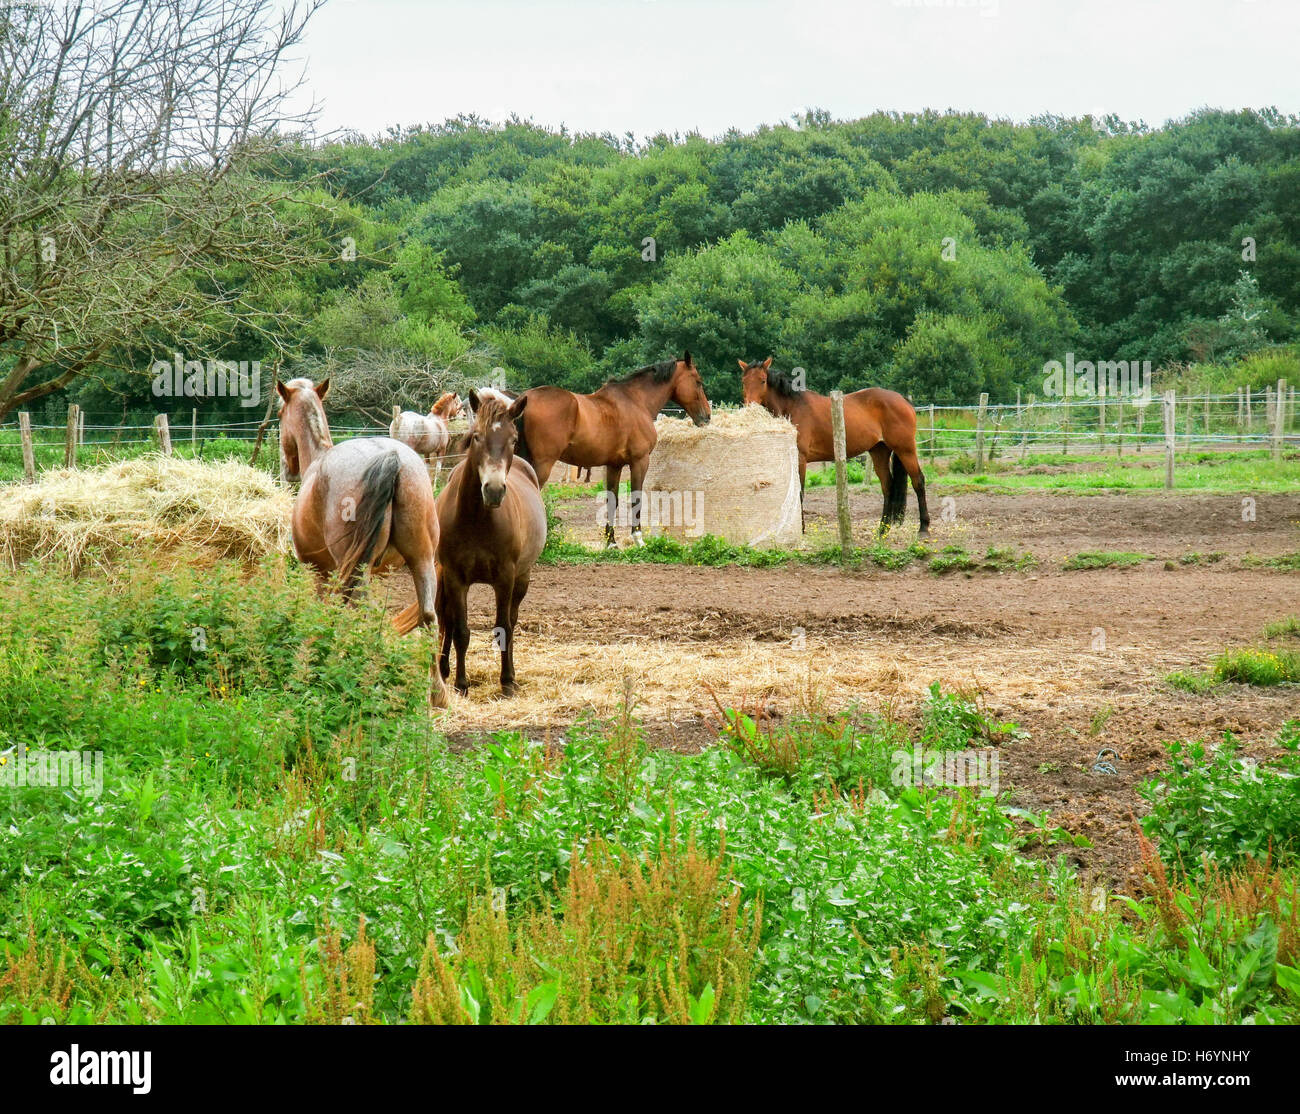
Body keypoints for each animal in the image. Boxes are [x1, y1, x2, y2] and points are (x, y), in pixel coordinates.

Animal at [277, 376, 448, 707]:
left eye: (279, 414)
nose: (287, 470)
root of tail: (393, 459)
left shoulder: (322, 573)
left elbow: (324, 613)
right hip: (421, 560)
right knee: (428, 616)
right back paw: (435, 694)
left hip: (359, 571)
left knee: (372, 619)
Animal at [434, 390, 547, 696]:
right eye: (476, 436)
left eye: (514, 440)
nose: (494, 490)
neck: (477, 519)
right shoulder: (454, 576)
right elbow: (460, 629)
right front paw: (461, 684)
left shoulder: (505, 577)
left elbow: (503, 627)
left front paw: (506, 681)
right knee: (447, 617)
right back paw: (444, 669)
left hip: (522, 578)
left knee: (512, 619)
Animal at [511, 353, 711, 546]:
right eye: (698, 381)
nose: (707, 416)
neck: (636, 401)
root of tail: (525, 399)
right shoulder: (639, 461)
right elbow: (636, 498)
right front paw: (638, 539)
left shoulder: (614, 466)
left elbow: (612, 500)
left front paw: (611, 542)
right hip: (542, 465)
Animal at [739, 358, 930, 536]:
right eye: (744, 381)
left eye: (762, 380)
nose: (750, 406)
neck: (793, 406)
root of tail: (903, 400)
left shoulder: (801, 458)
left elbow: (800, 492)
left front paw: (802, 530)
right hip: (879, 452)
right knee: (888, 487)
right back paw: (882, 531)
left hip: (906, 449)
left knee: (918, 481)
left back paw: (923, 528)